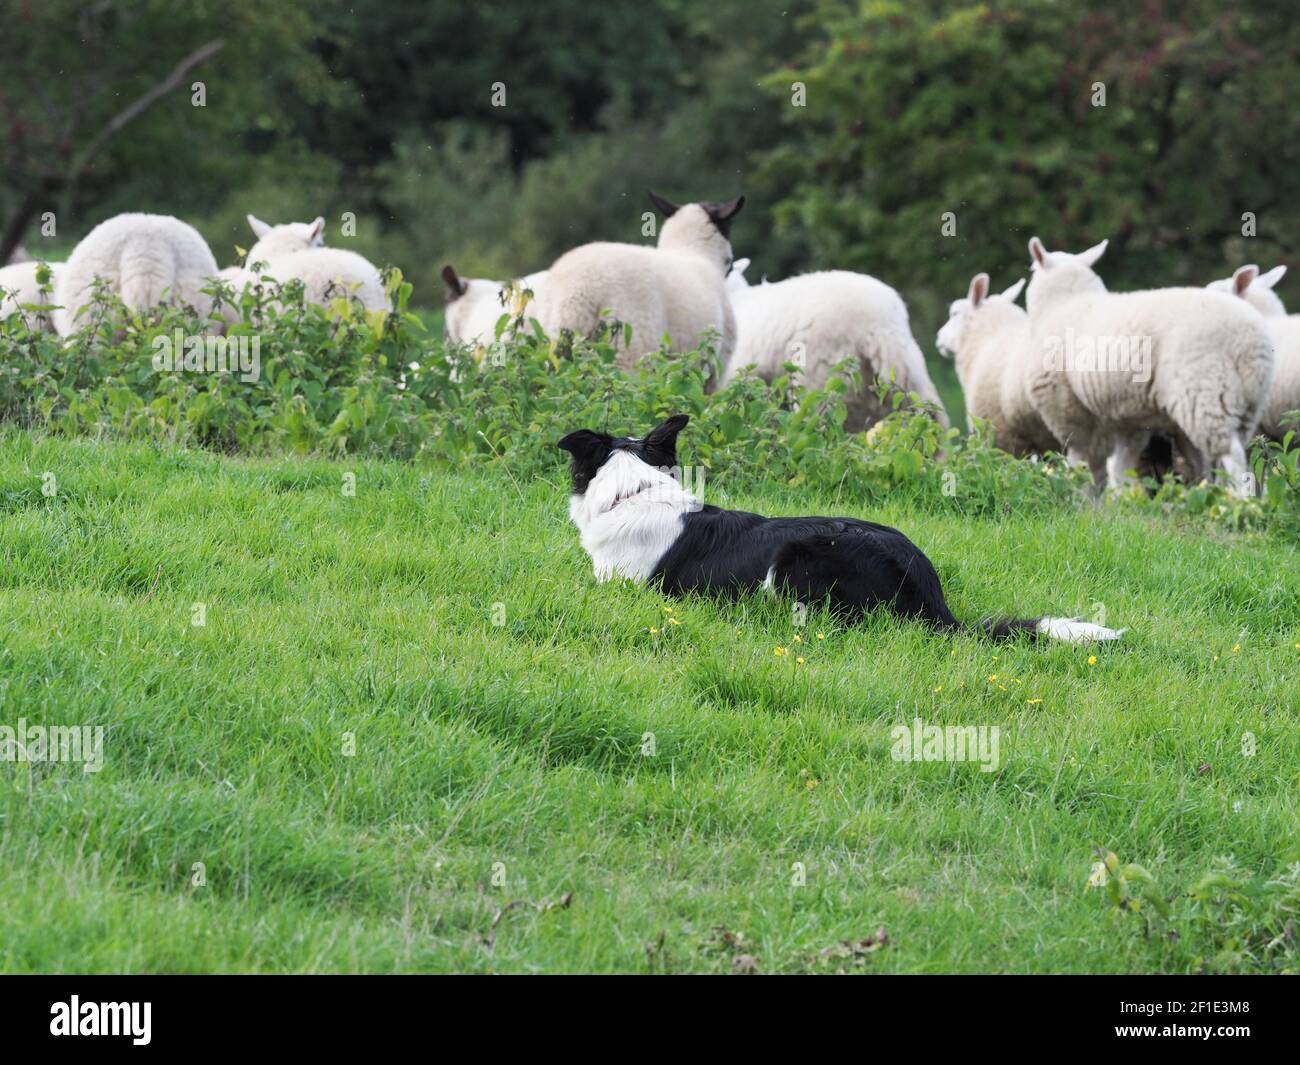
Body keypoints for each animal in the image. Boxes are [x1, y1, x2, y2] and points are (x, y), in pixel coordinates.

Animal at [1024, 236, 1274, 495]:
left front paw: (1082, 498)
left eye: (1031, 268)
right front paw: (1124, 499)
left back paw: (1240, 500)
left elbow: (1084, 467)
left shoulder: (1072, 415)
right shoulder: (1128, 422)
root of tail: (1249, 339)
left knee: (1232, 456)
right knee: (1223, 460)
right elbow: (1120, 469)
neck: (1064, 303)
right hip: (1246, 405)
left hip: (1207, 394)